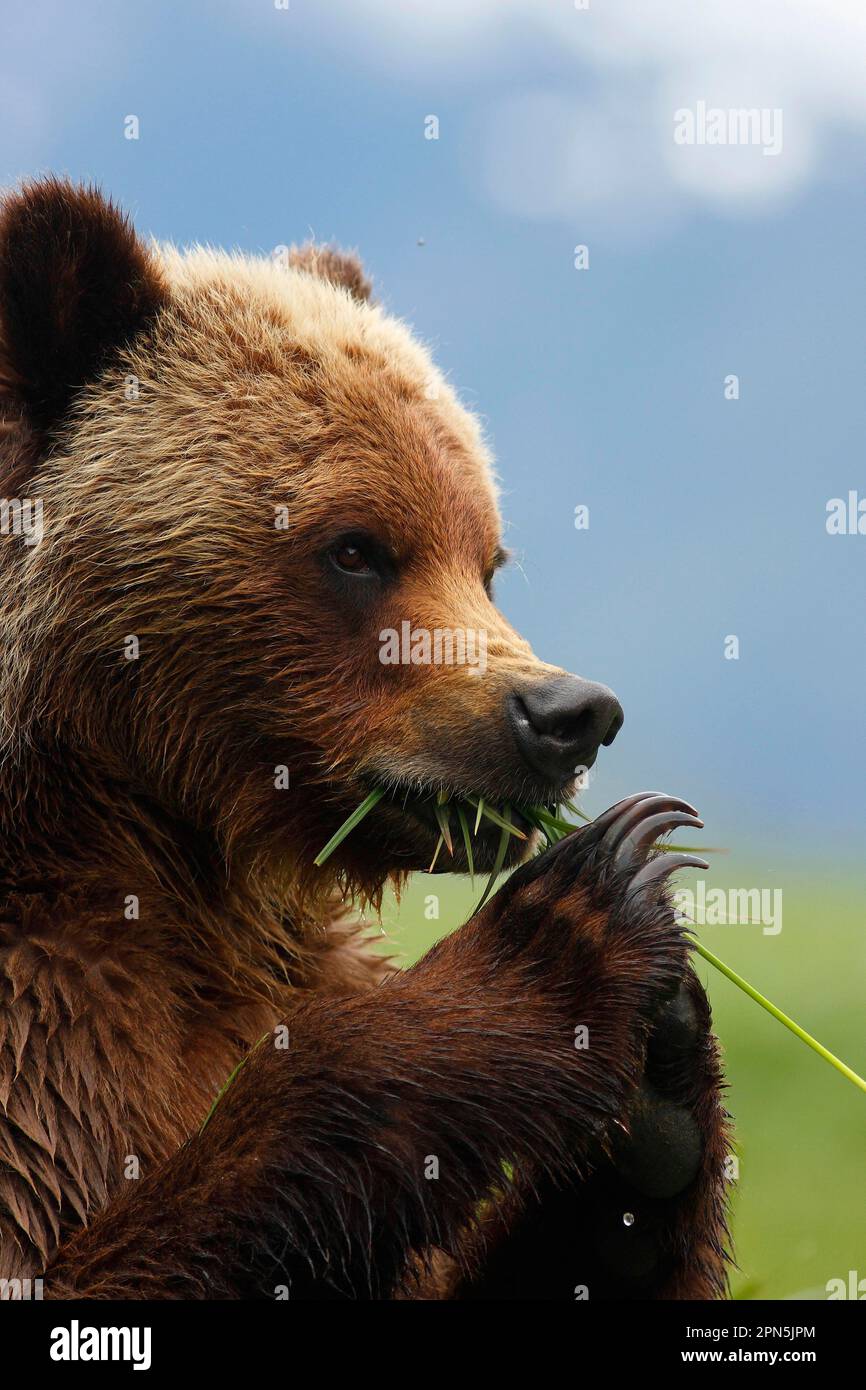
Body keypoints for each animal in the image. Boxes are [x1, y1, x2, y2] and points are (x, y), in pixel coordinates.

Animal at [0, 178, 730, 1300]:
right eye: (354, 549)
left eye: (487, 559)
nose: (566, 715)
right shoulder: (41, 1045)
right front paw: (568, 921)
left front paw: (660, 1081)